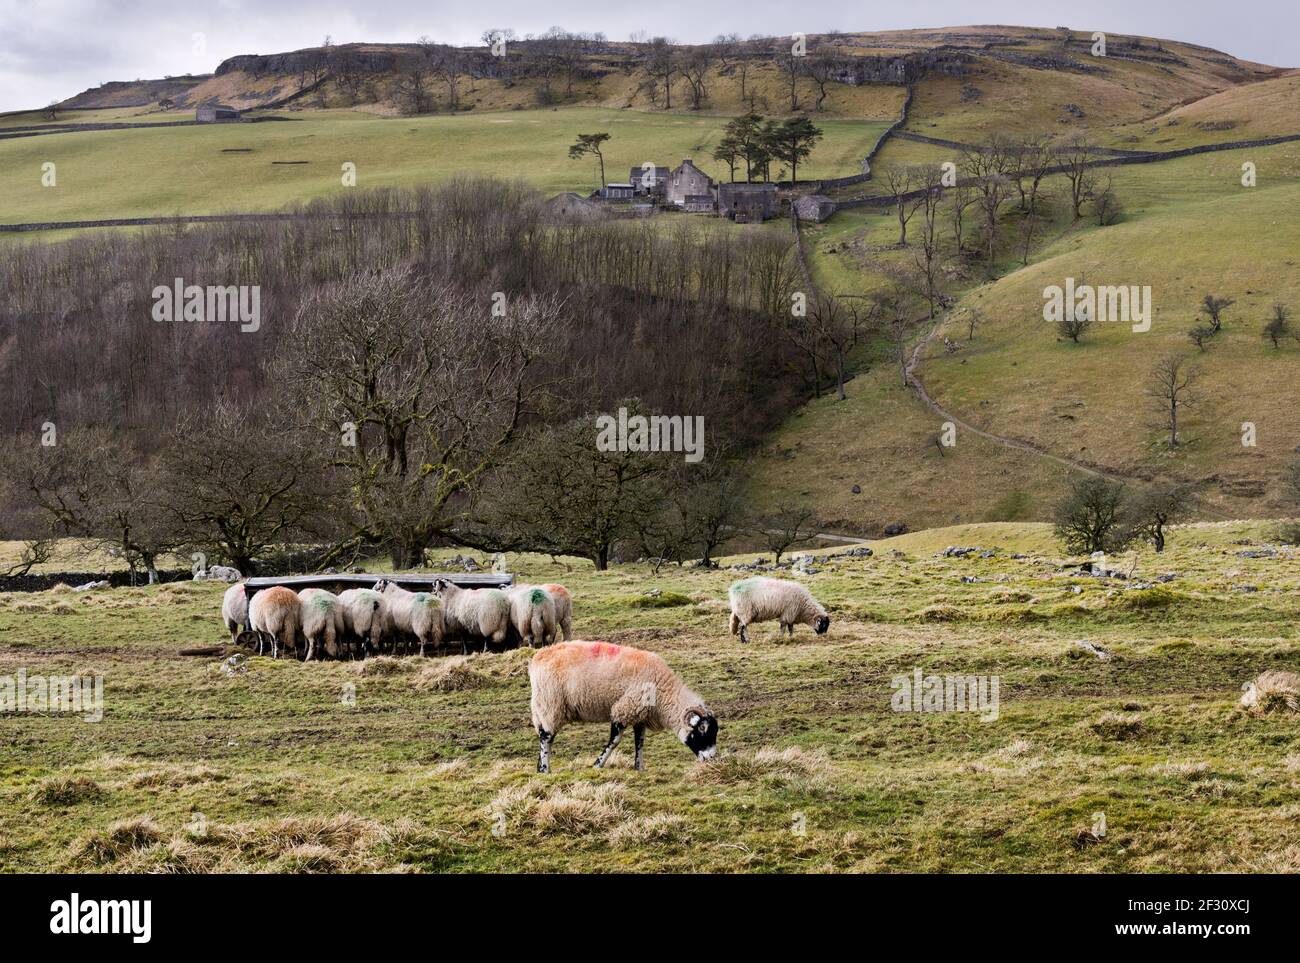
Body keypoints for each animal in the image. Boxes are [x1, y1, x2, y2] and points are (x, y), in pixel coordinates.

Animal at [529, 640, 718, 773]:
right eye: (702, 730)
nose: (712, 758)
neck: (662, 690)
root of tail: (538, 658)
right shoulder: (624, 709)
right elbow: (614, 741)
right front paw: (597, 765)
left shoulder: (640, 715)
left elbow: (639, 742)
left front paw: (639, 767)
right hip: (550, 703)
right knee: (546, 737)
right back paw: (545, 769)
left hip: (544, 706)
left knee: (544, 735)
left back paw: (539, 767)